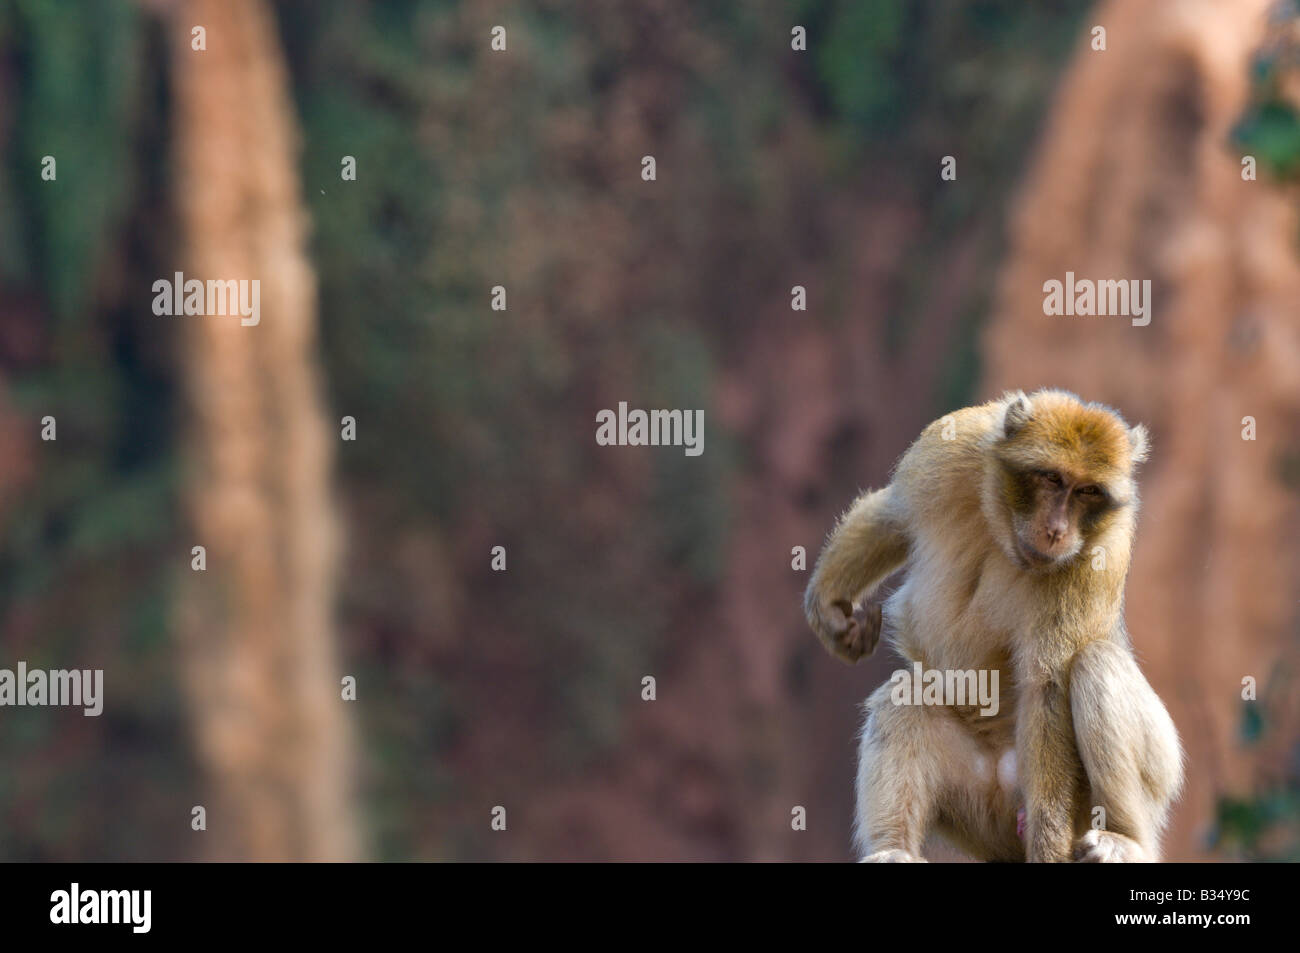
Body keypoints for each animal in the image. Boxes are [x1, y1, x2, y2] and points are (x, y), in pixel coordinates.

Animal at [804, 389, 1183, 862]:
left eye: (1088, 491)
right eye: (1052, 479)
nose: (1057, 530)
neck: (1006, 529)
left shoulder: (1100, 554)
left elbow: (1046, 688)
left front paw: (1049, 845)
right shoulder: (949, 449)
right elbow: (892, 514)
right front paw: (830, 607)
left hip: (1124, 782)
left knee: (1095, 663)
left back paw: (1125, 840)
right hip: (980, 816)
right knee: (903, 698)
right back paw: (893, 849)